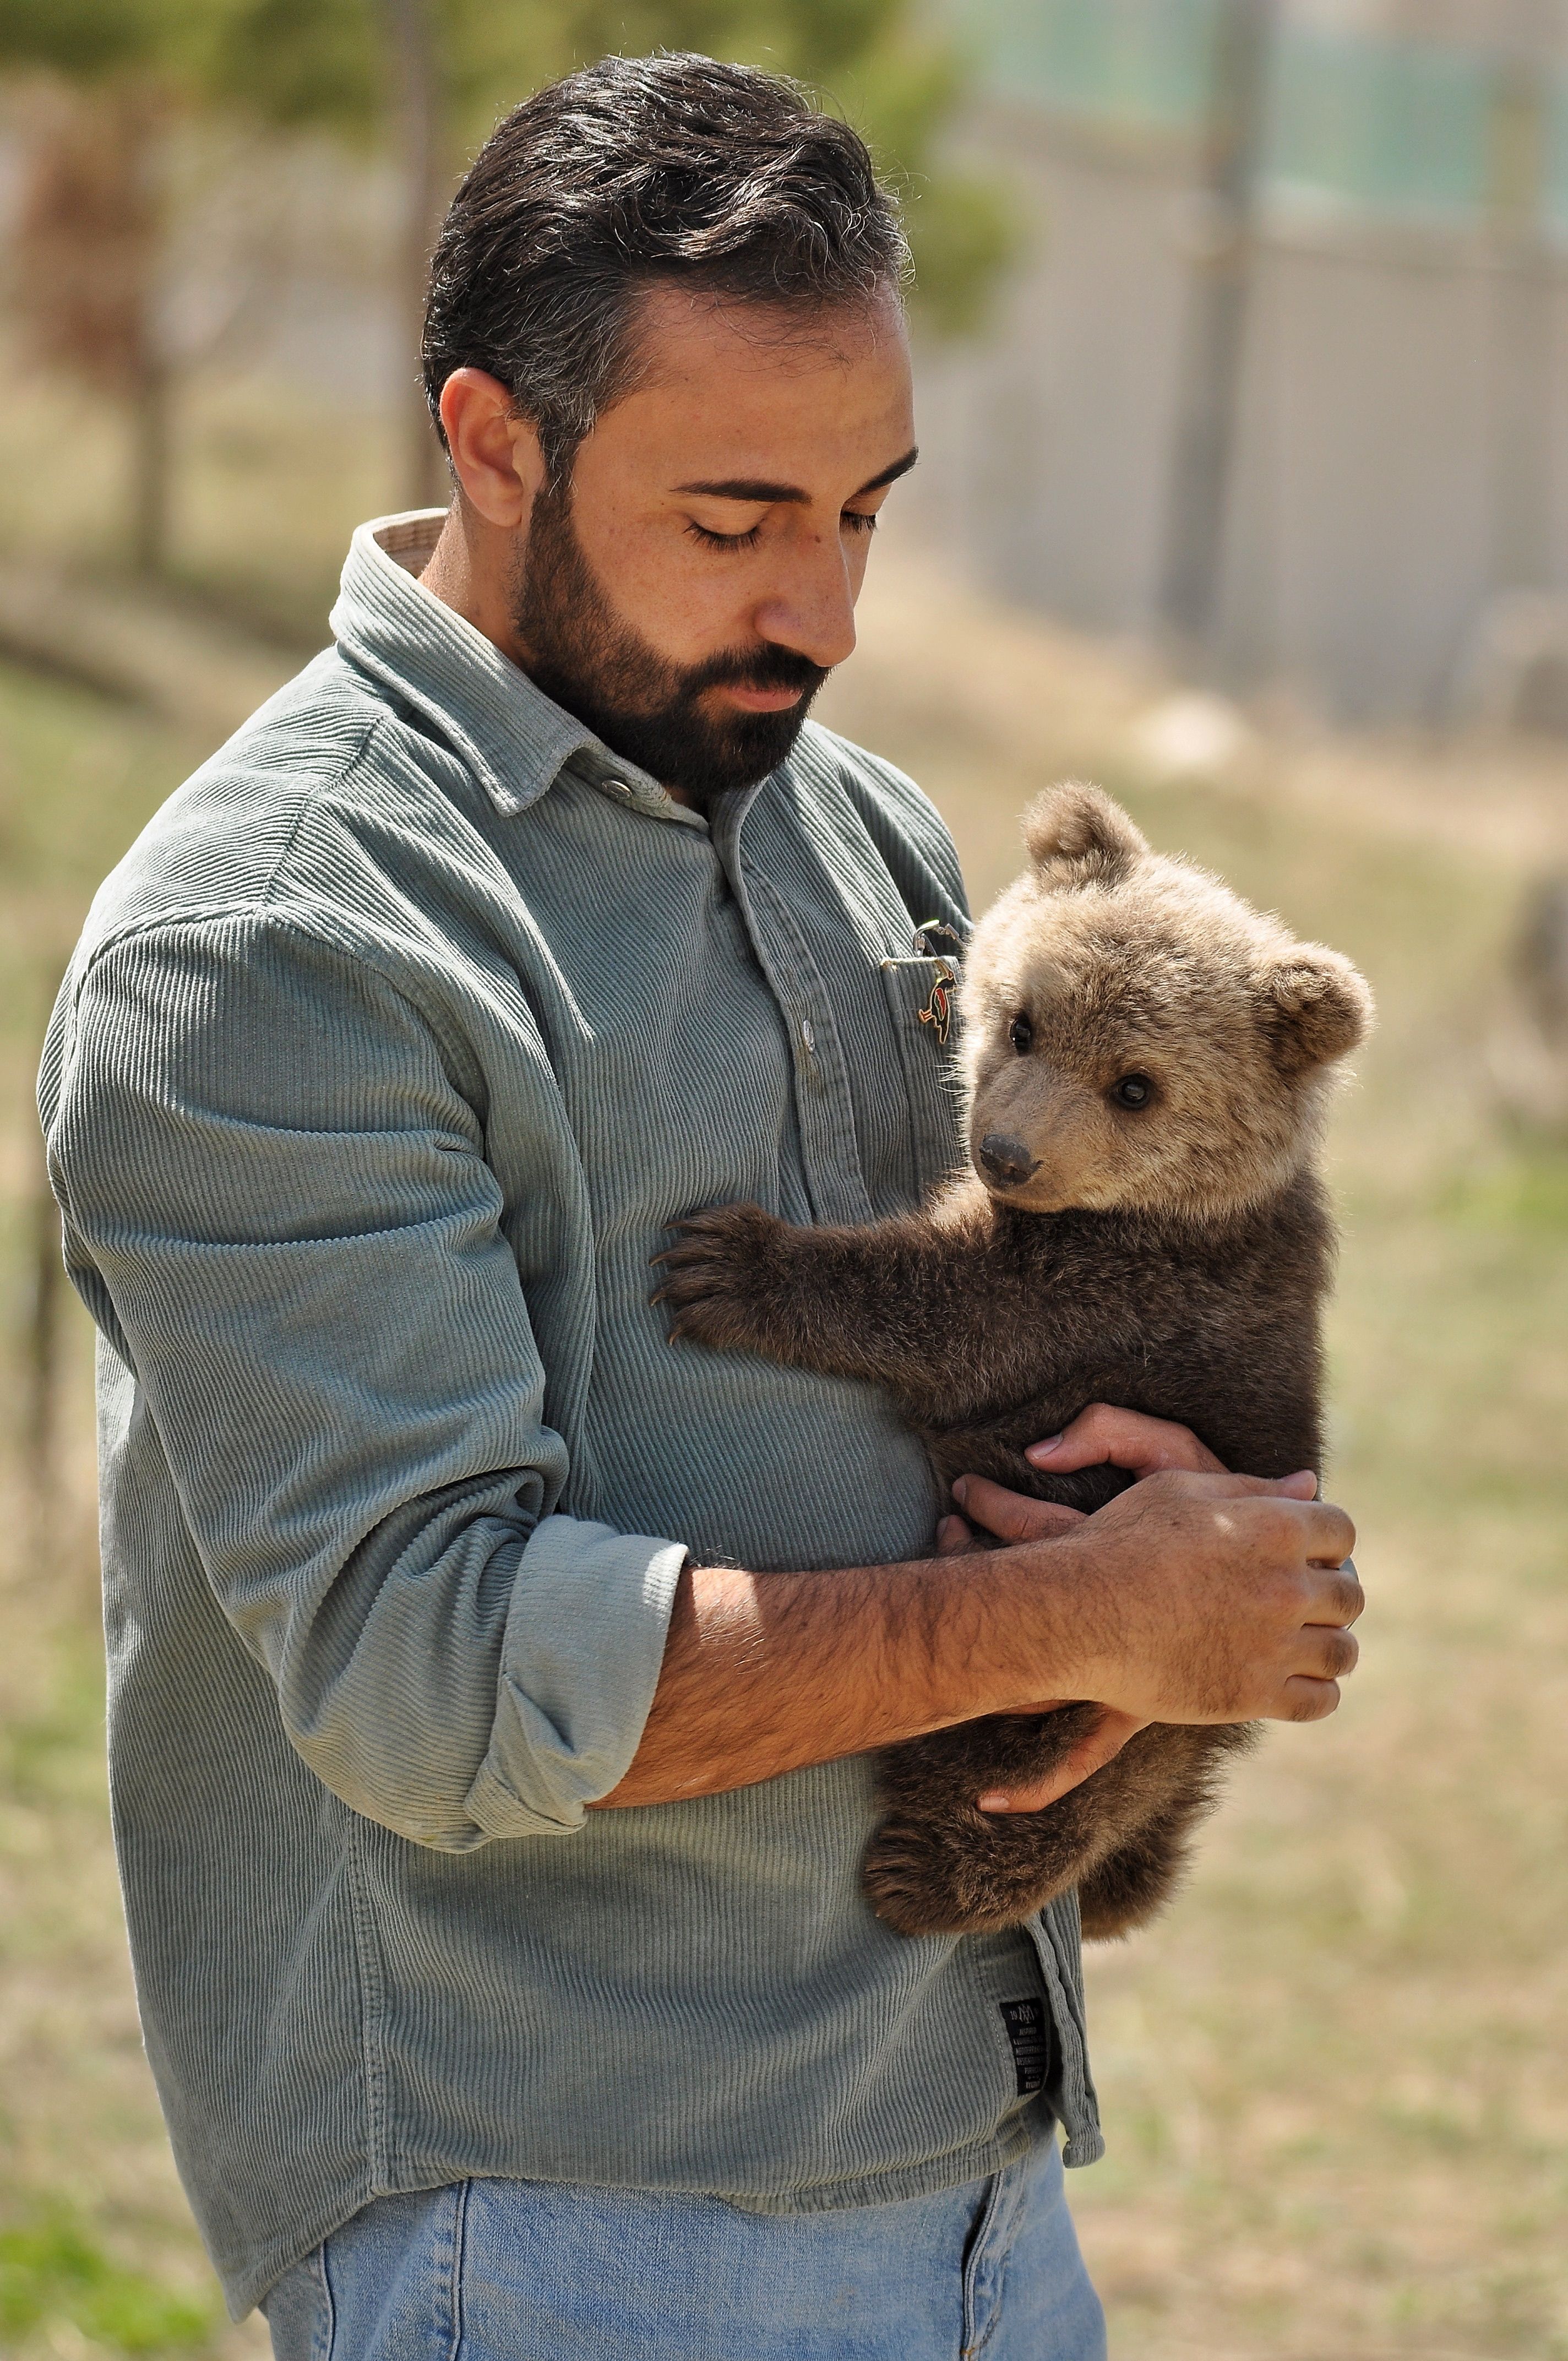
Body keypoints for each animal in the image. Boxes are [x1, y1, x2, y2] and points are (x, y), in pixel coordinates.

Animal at [652, 781, 1373, 1943]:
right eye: (1023, 1018)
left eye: (1136, 1085)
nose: (1006, 1152)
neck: (1158, 1211)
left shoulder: (1120, 1297)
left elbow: (942, 1313)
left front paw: (726, 1263)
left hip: (1100, 1702)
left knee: (1045, 1780)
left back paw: (929, 1870)